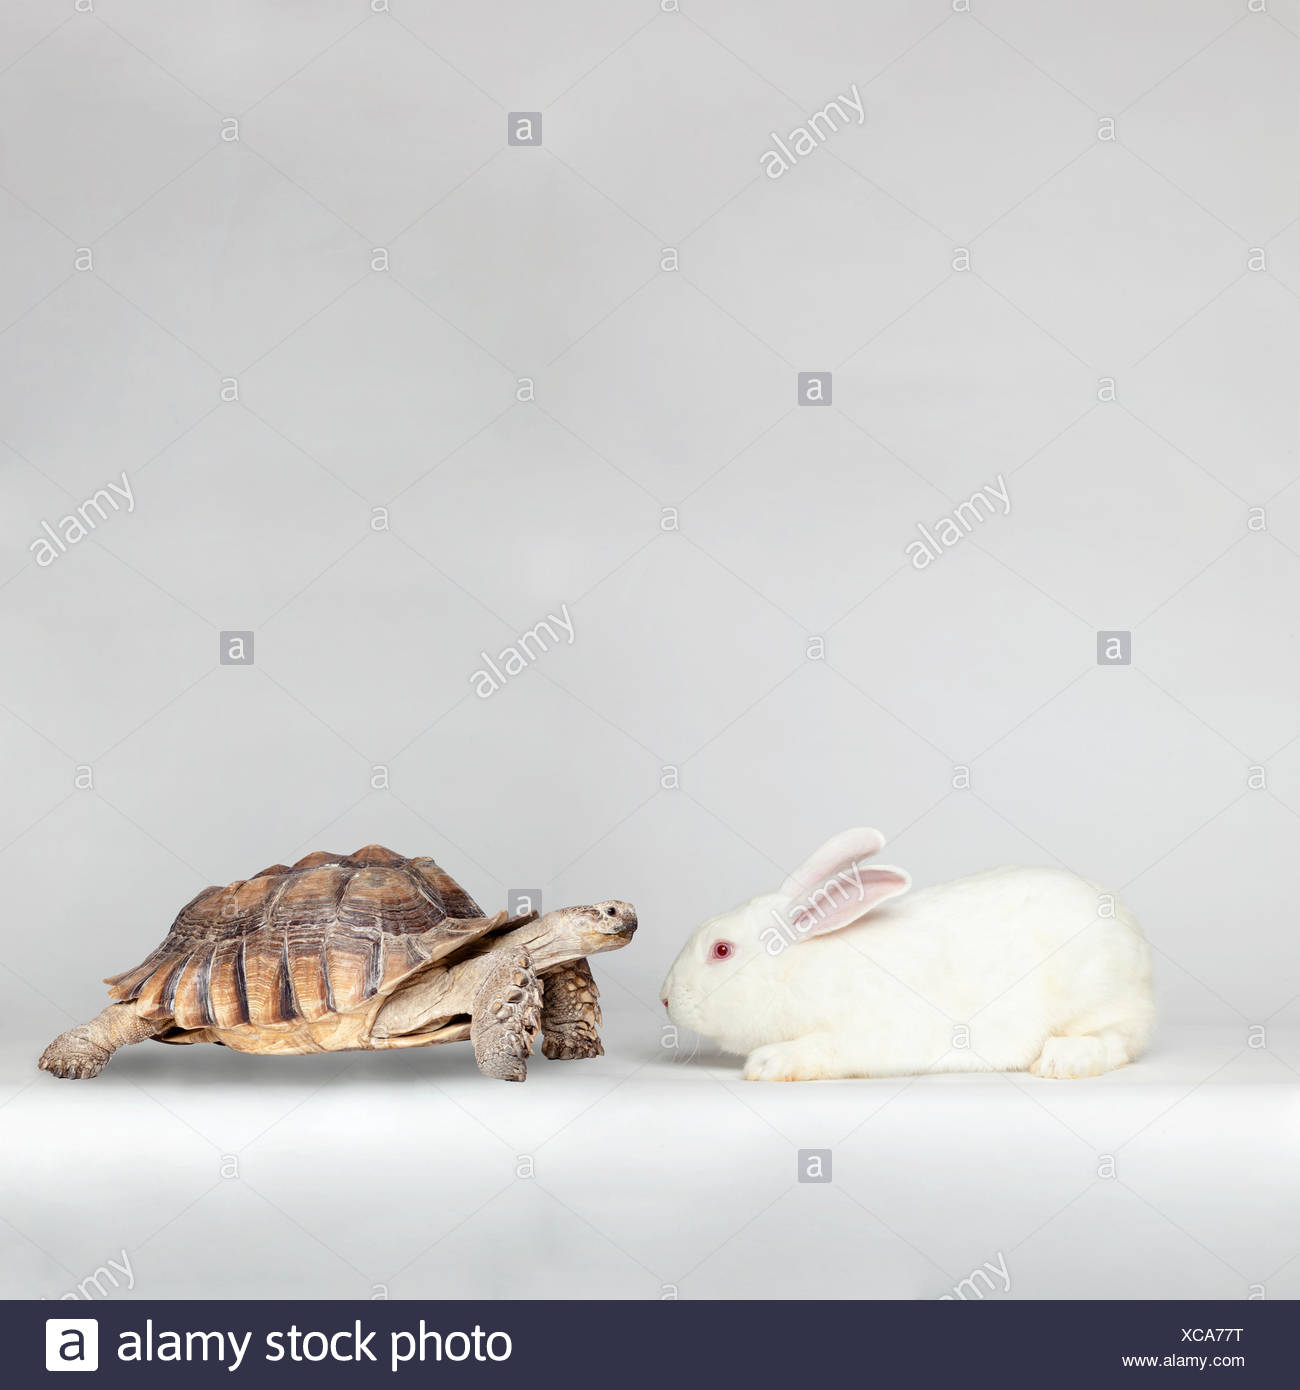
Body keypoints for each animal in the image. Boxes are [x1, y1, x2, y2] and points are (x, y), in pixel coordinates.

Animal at [660, 828, 1155, 1082]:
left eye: (722, 950)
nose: (664, 999)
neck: (795, 970)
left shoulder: (861, 1035)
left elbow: (819, 1049)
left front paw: (767, 1064)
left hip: (1095, 999)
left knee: (1117, 1041)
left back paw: (1060, 1061)